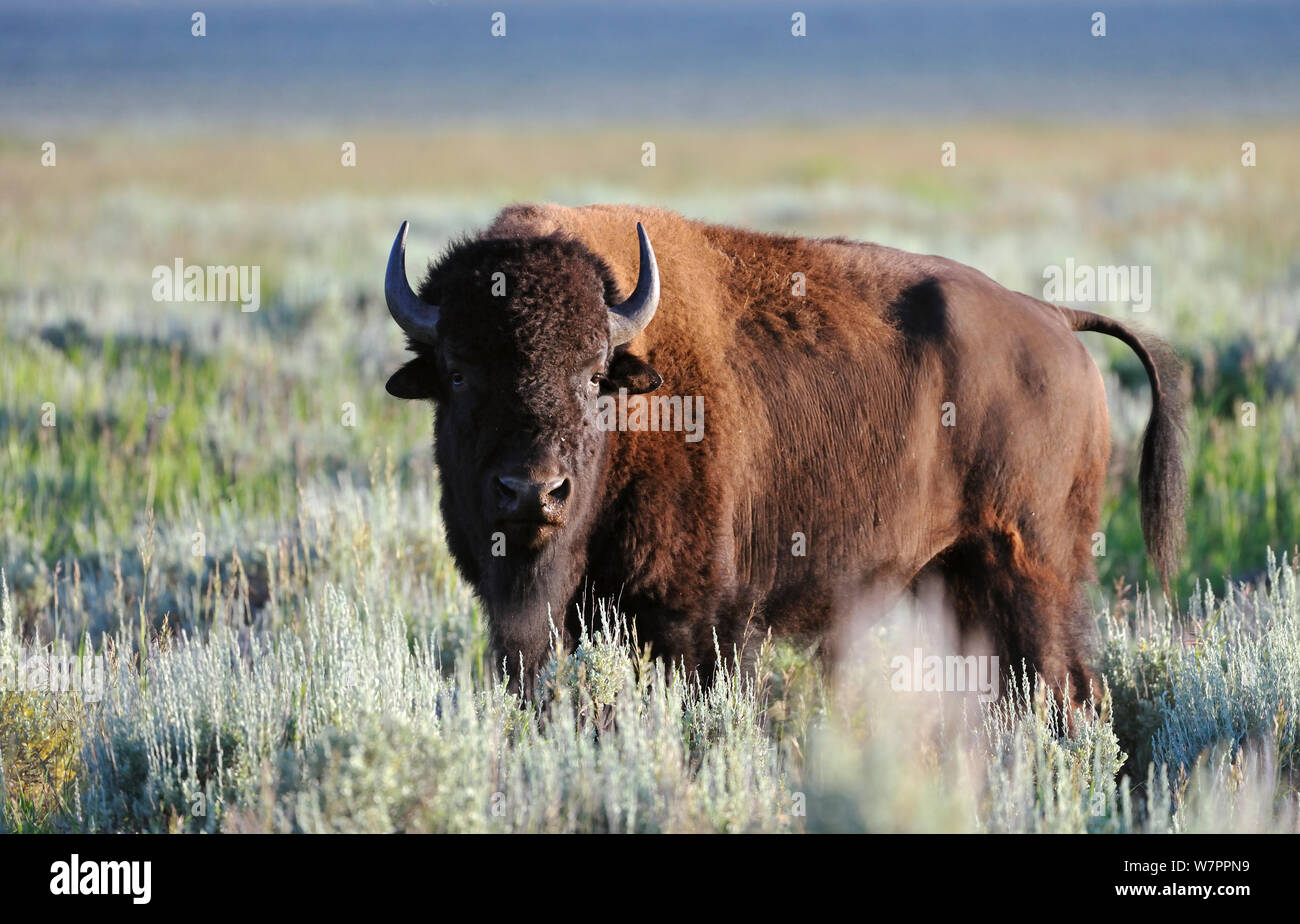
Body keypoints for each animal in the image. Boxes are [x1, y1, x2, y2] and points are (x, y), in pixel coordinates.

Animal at [383, 204, 1185, 703]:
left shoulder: (696, 621)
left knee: (1066, 691)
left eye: (591, 374)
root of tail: (1055, 318)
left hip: (1035, 570)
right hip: (965, 580)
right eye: (458, 373)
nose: (533, 493)